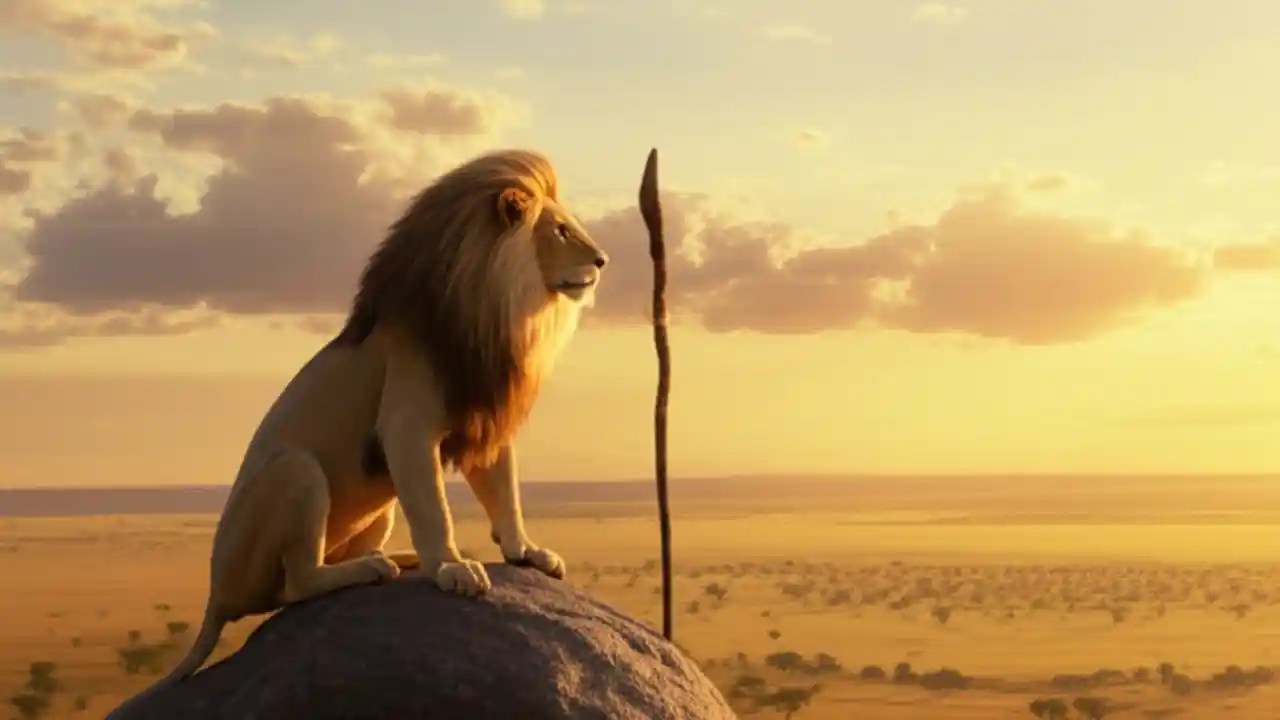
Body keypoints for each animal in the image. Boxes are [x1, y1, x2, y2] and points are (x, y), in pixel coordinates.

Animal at [107, 149, 608, 717]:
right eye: (562, 230)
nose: (603, 260)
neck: (494, 306)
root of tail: (216, 594)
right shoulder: (407, 423)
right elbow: (434, 508)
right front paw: (451, 567)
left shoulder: (483, 415)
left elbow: (505, 493)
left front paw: (525, 552)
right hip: (295, 473)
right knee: (296, 584)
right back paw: (372, 571)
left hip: (377, 510)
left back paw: (391, 559)